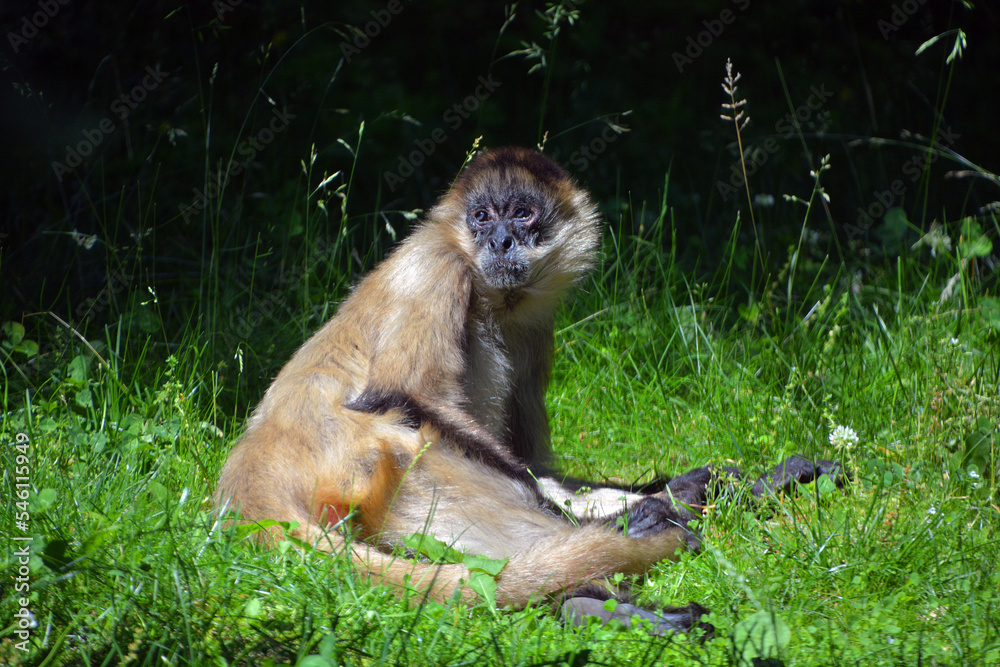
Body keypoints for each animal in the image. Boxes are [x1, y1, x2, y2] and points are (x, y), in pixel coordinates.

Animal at [216, 147, 843, 634]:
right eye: (482, 216)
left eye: (522, 215)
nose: (498, 241)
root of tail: (252, 471)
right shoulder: (438, 266)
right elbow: (398, 394)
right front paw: (647, 511)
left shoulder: (535, 322)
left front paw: (685, 491)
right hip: (376, 457)